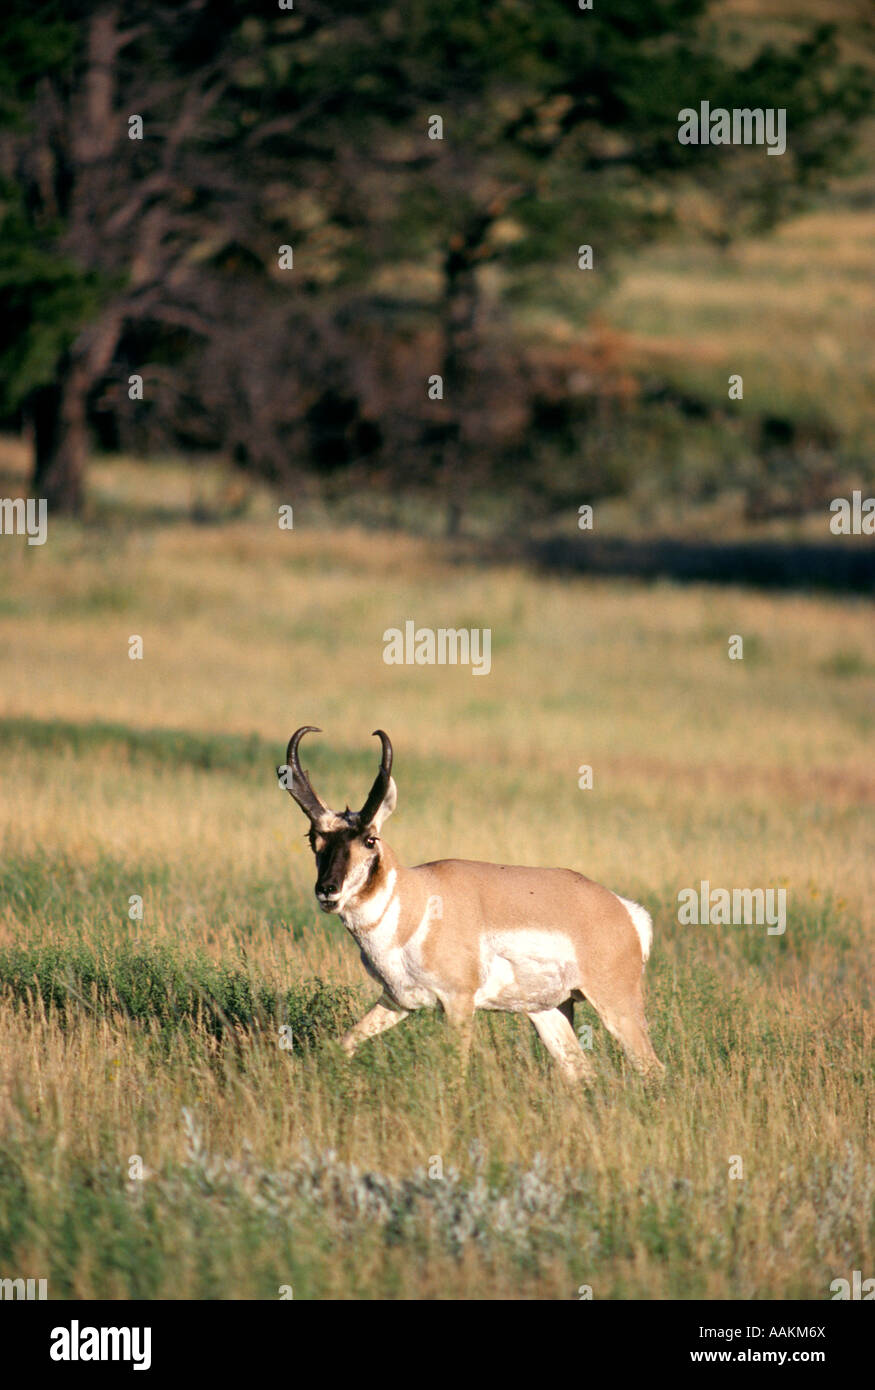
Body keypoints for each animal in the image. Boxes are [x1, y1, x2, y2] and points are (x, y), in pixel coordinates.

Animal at [278, 727, 663, 1082]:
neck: (417, 900)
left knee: (652, 1068)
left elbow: (455, 1073)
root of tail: (622, 908)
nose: (327, 890)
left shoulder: (458, 1004)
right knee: (580, 1072)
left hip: (615, 1004)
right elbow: (342, 1044)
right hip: (547, 1011)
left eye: (370, 839)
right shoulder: (397, 1000)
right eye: (314, 838)